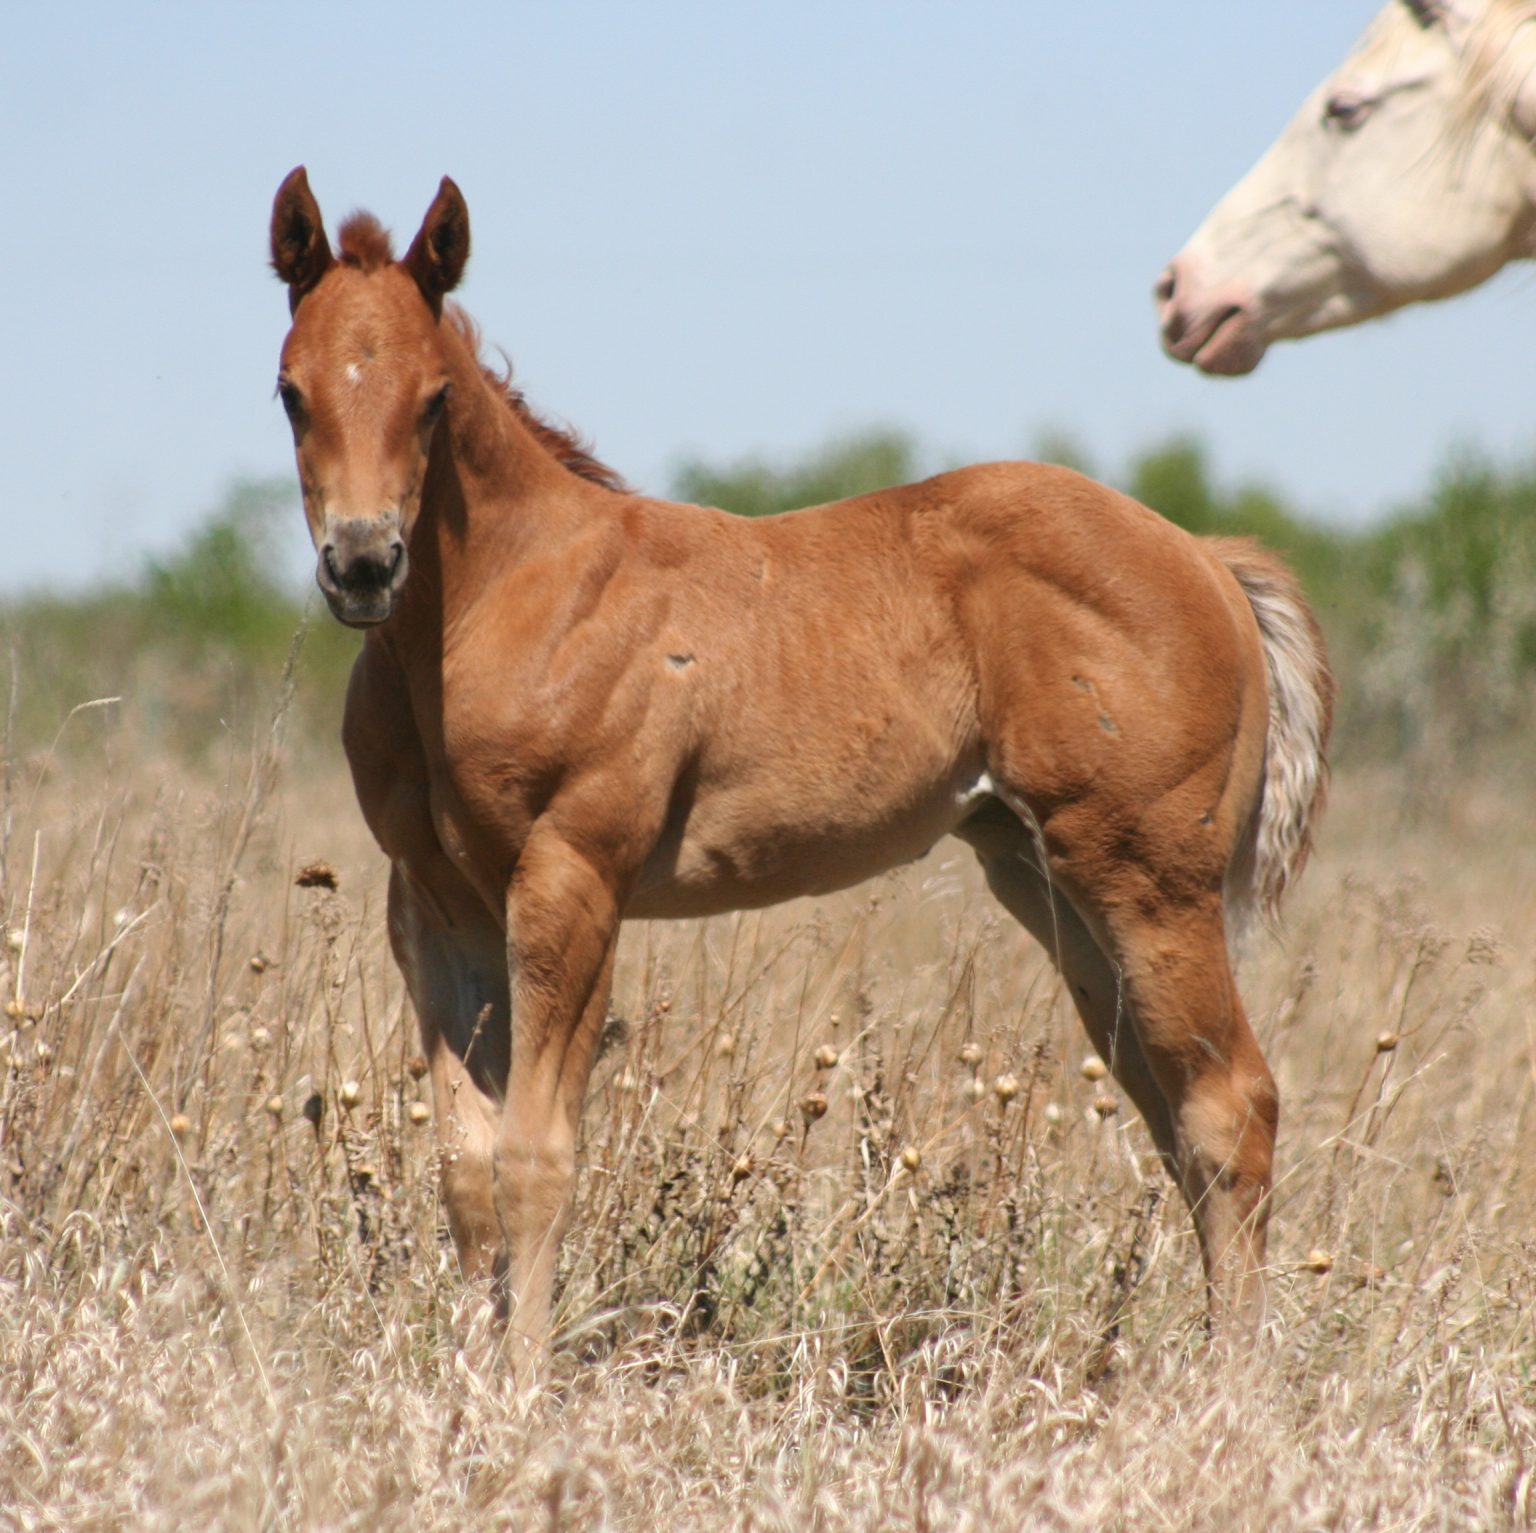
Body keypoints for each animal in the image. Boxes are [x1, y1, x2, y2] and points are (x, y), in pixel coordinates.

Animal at [269, 168, 1333, 1364]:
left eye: (435, 398)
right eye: (292, 393)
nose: (364, 564)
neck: (502, 599)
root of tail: (1206, 556)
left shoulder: (572, 877)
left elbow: (536, 1156)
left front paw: (526, 1385)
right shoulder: (434, 899)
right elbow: (466, 1168)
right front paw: (467, 1378)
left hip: (1154, 882)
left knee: (1232, 1105)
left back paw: (1231, 1383)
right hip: (1052, 882)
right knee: (1172, 1109)